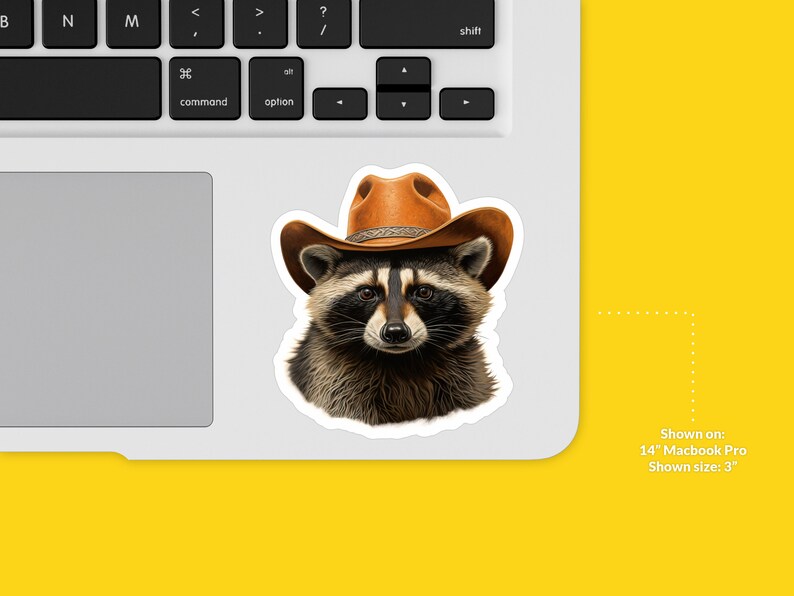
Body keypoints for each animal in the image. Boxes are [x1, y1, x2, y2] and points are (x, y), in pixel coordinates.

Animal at [288, 236, 497, 425]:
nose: (395, 332)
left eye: (423, 291)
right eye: (367, 293)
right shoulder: (332, 379)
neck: (402, 361)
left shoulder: (465, 379)